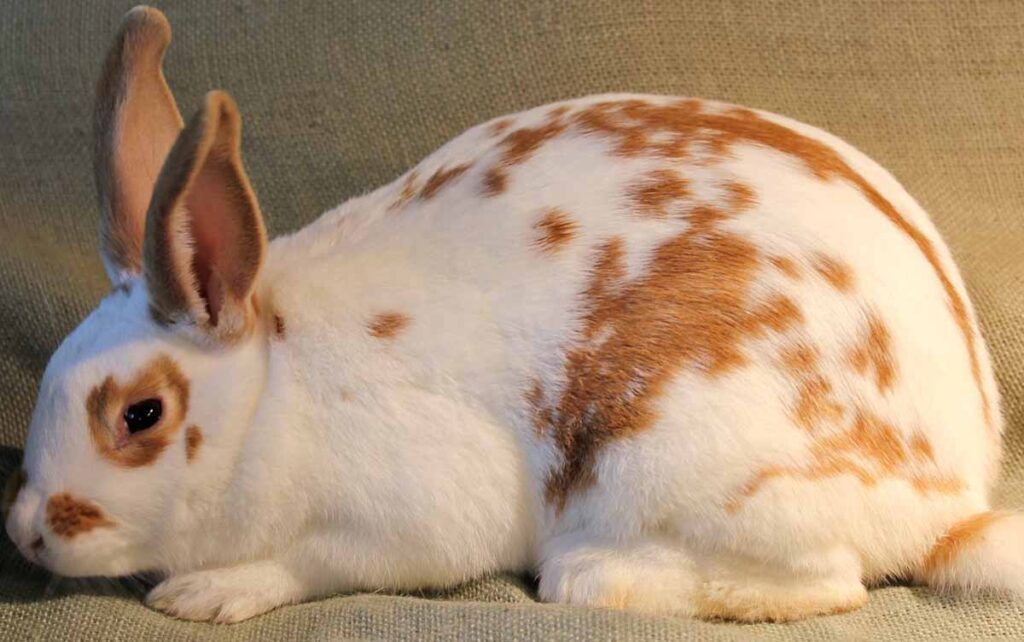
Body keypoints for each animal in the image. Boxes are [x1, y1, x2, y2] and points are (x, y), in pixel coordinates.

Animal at [3, 5, 1021, 624]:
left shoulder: (408, 517)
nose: (25, 533)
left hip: (687, 473)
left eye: (142, 414)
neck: (273, 395)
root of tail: (955, 500)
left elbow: (318, 565)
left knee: (831, 583)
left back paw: (598, 574)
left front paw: (205, 594)